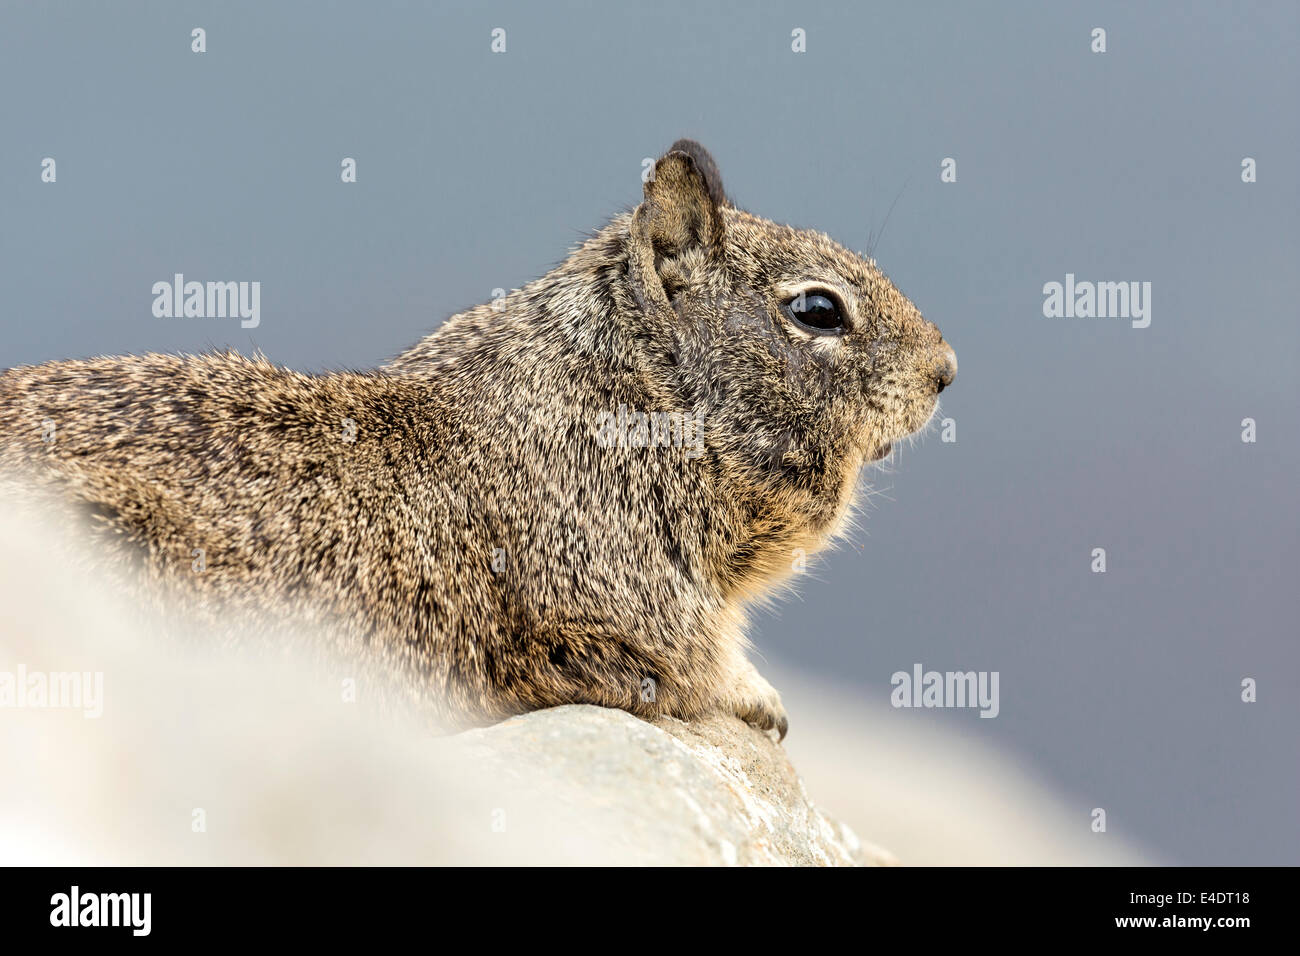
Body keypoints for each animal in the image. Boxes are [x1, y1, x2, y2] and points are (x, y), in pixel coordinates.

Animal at [0, 140, 956, 739]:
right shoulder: (628, 613)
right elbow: (692, 677)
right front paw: (760, 699)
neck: (623, 403)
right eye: (818, 309)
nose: (947, 370)